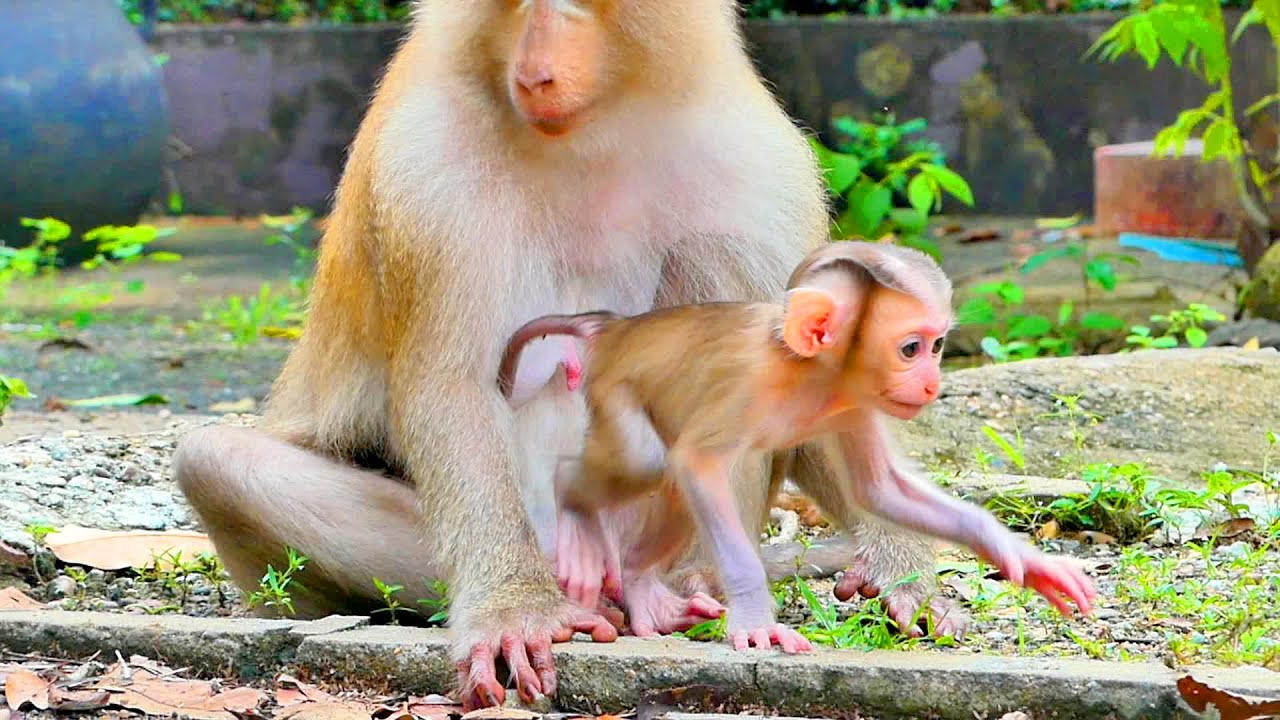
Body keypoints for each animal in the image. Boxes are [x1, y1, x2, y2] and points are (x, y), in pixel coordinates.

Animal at [171, 0, 966, 710]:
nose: (536, 71)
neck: (599, 128)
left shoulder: (759, 165)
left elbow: (804, 365)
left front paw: (904, 569)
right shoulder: (428, 171)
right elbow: (454, 384)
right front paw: (512, 611)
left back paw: (685, 590)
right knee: (217, 462)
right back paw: (610, 605)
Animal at [498, 242, 1097, 651]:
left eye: (937, 346)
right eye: (911, 349)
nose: (931, 384)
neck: (809, 373)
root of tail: (615, 326)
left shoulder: (855, 404)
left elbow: (880, 490)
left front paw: (1022, 558)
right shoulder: (747, 386)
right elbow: (697, 463)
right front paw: (755, 618)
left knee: (668, 485)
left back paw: (642, 586)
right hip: (615, 386)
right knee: (652, 463)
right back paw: (574, 508)